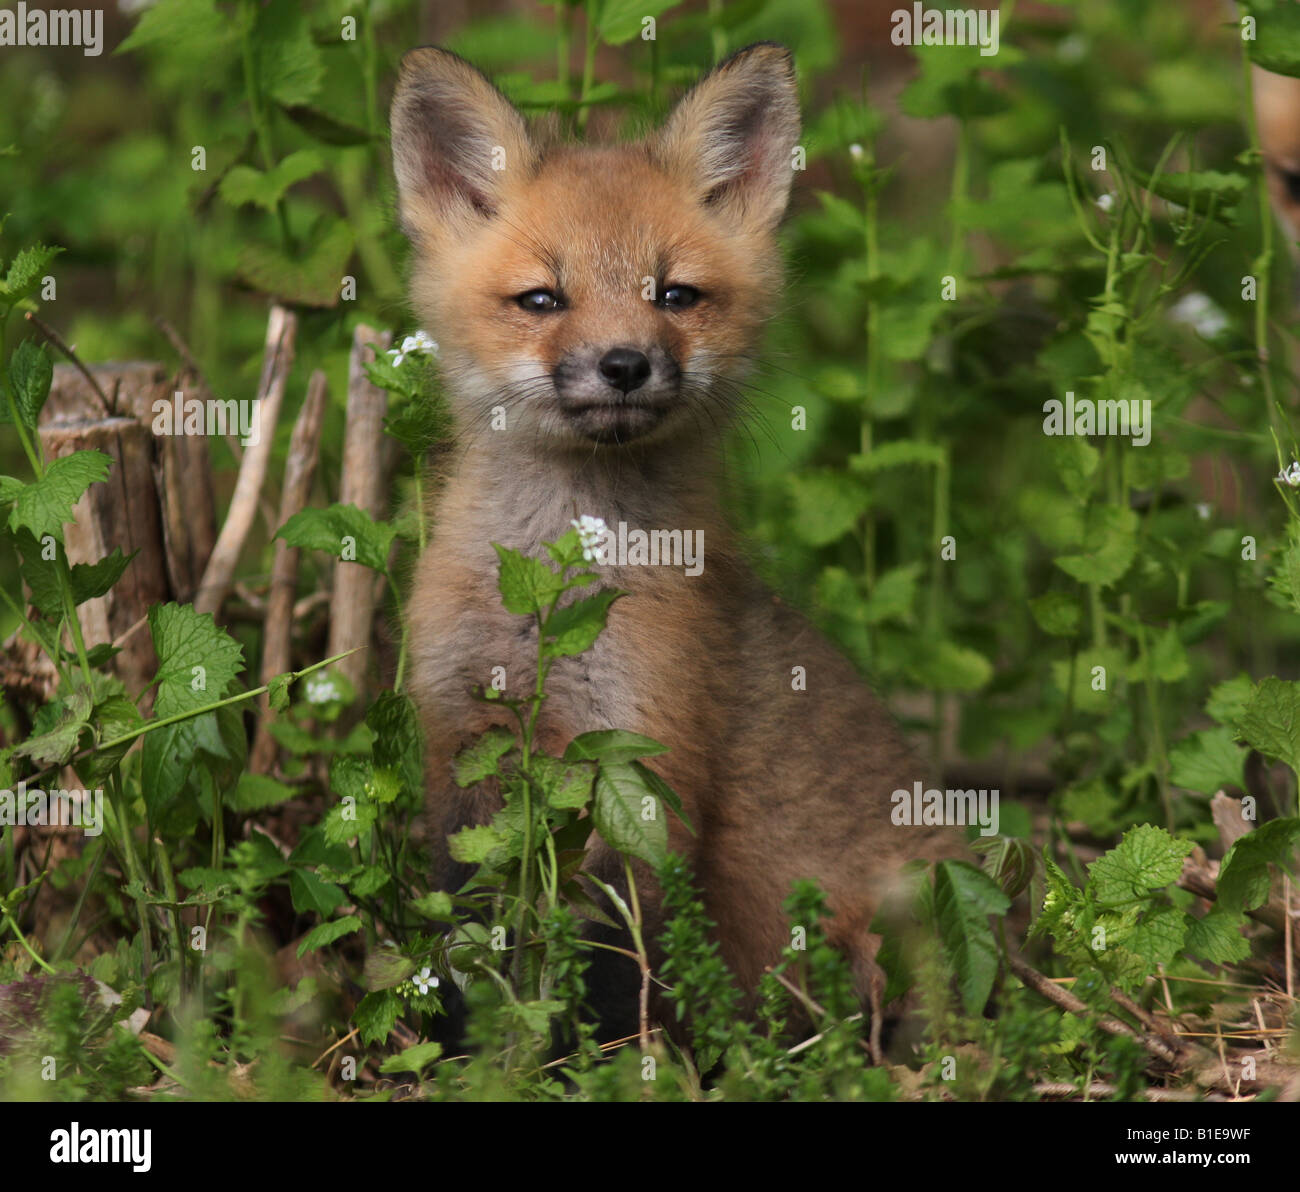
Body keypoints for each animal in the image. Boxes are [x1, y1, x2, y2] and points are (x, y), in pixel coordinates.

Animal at [389, 42, 964, 1041]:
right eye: (542, 298)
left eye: (675, 296)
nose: (625, 363)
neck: (551, 599)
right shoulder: (464, 741)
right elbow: (468, 924)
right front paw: (469, 1045)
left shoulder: (643, 764)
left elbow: (615, 962)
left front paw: (605, 1059)